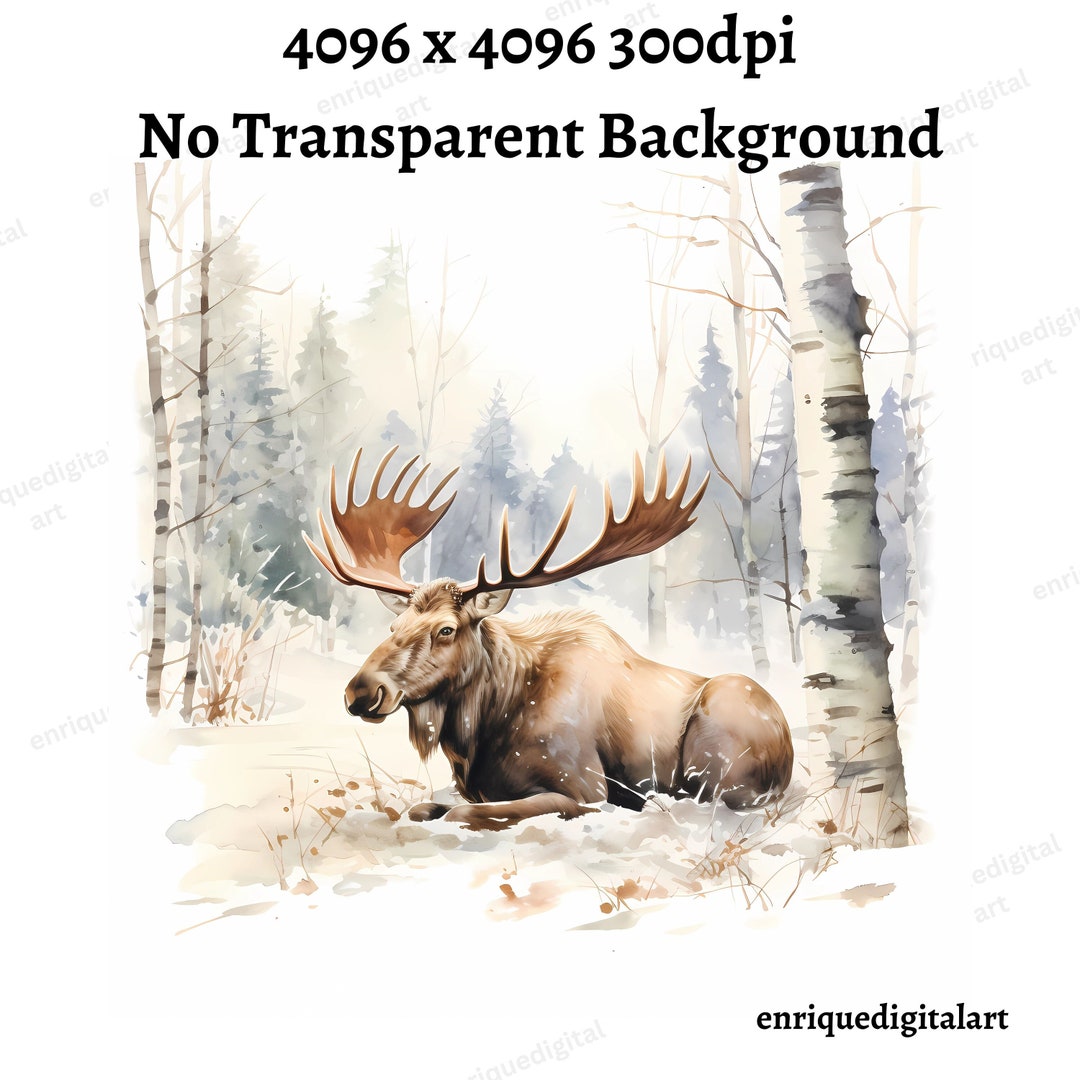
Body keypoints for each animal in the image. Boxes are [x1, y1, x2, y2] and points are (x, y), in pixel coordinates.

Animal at [305, 446, 793, 831]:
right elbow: (424, 809)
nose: (360, 692)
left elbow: (467, 814)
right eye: (393, 627)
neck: (484, 727)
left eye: (446, 629)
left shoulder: (586, 790)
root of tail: (786, 745)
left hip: (719, 755)